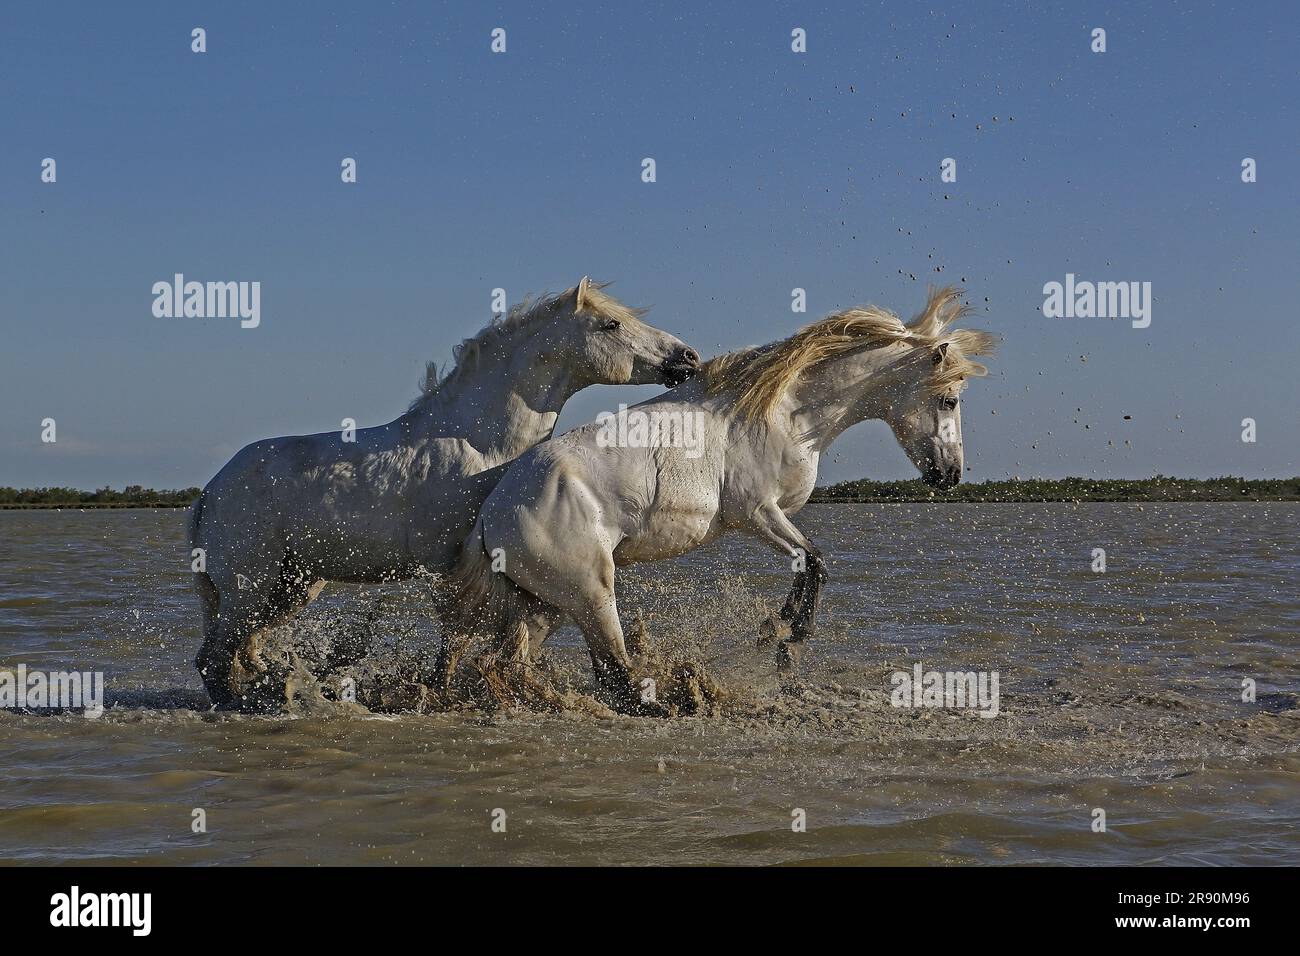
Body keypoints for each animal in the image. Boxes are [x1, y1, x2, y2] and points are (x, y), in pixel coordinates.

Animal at [189, 278, 700, 711]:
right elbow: (455, 637)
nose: (688, 357)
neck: (477, 443)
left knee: (240, 652)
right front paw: (440, 694)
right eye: (612, 324)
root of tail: (210, 493)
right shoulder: (450, 564)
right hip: (248, 589)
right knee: (214, 659)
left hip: (290, 588)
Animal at [438, 287, 996, 714]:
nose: (950, 475)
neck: (785, 412)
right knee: (615, 674)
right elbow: (814, 561)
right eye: (949, 400)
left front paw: (780, 640)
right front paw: (782, 639)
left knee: (518, 665)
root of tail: (490, 515)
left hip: (546, 606)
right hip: (591, 594)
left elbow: (810, 565)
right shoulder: (756, 513)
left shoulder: (771, 517)